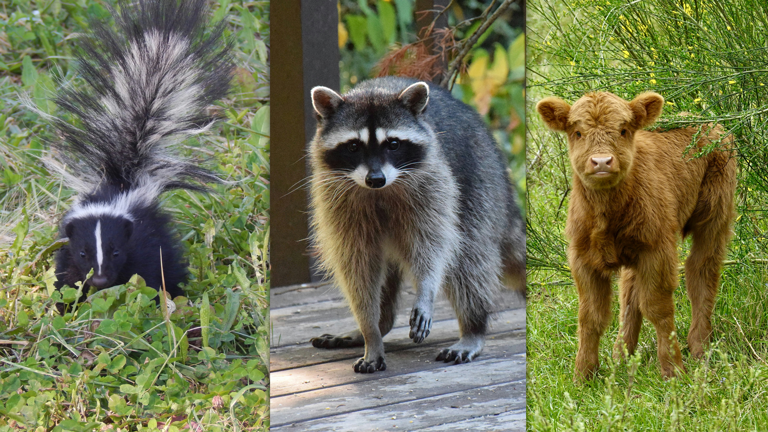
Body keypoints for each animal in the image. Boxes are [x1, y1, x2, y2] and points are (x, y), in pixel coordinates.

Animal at [308, 76, 525, 373]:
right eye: (353, 147)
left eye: (393, 144)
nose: (375, 179)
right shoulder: (336, 199)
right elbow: (356, 266)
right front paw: (369, 330)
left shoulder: (433, 183)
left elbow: (433, 245)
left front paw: (426, 289)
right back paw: (381, 323)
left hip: (479, 182)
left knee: (468, 258)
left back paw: (473, 327)